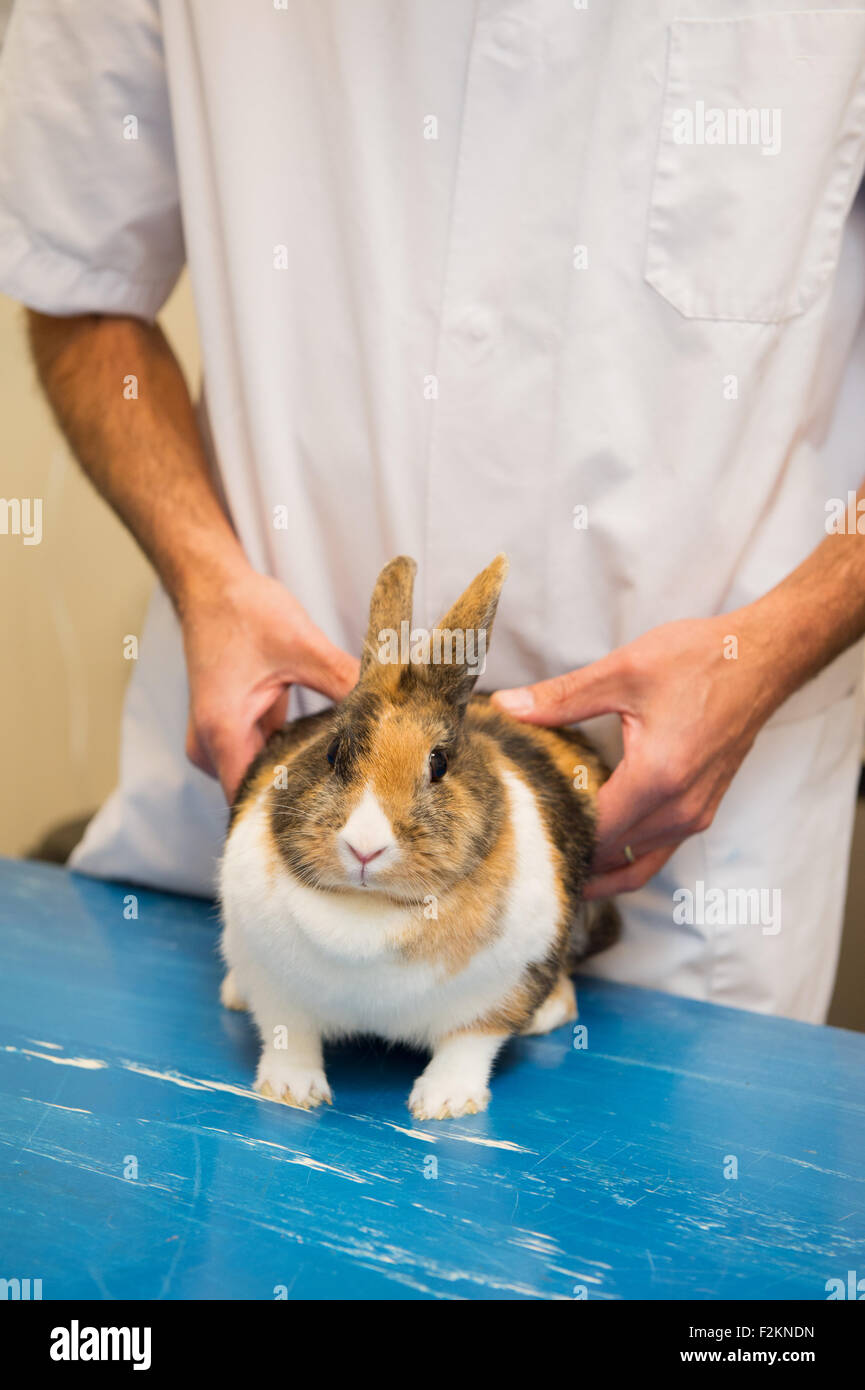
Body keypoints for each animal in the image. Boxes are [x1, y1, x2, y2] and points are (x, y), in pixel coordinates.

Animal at [218, 554, 620, 1120]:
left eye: (439, 763)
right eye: (333, 752)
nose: (365, 848)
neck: (371, 913)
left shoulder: (496, 998)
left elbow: (468, 1047)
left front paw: (444, 1104)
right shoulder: (275, 987)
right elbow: (289, 1037)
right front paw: (291, 1090)